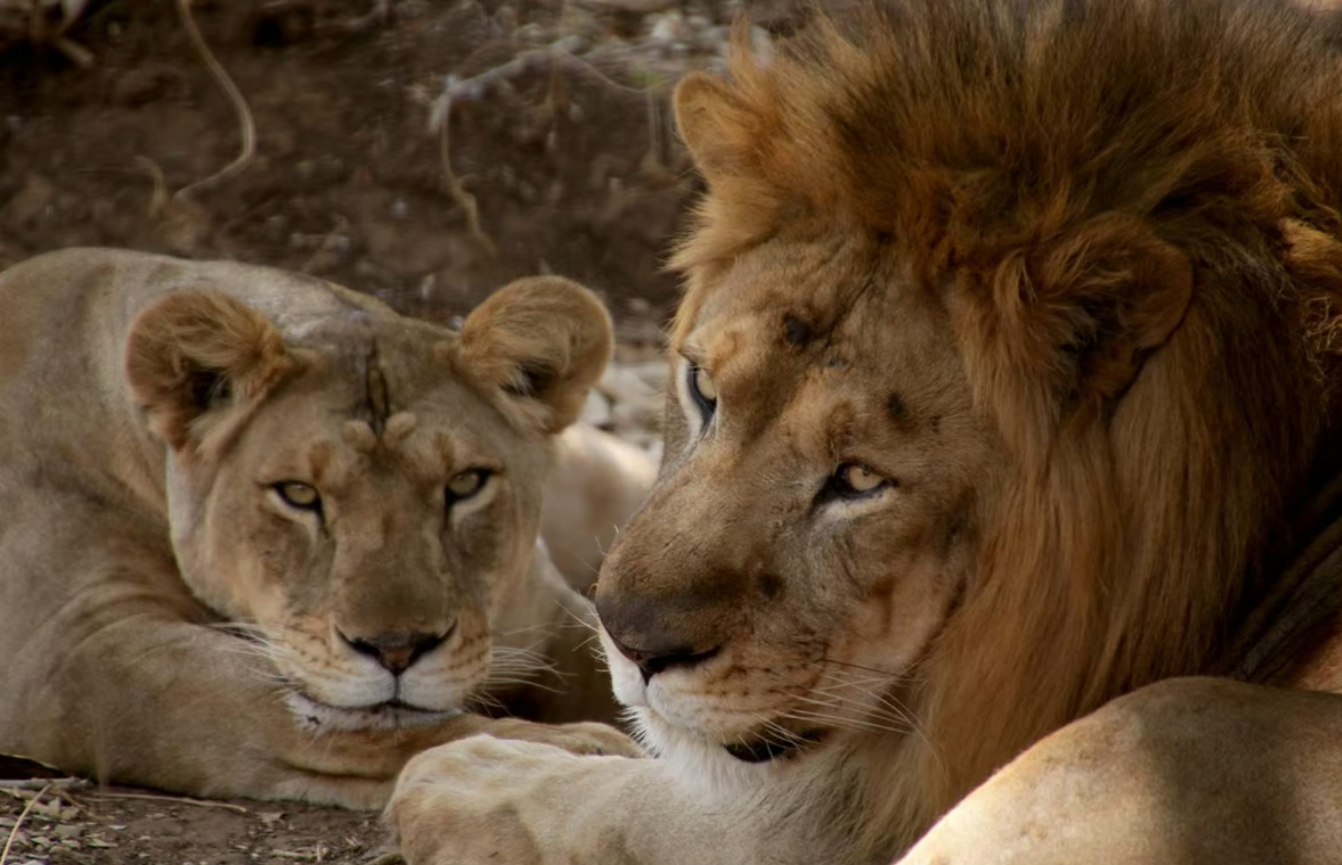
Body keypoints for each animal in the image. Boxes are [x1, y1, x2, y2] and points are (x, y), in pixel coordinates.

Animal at [0, 247, 649, 807]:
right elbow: (343, 721)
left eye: (465, 483)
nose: (397, 649)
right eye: (299, 493)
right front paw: (567, 754)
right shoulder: (77, 644)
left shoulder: (545, 616)